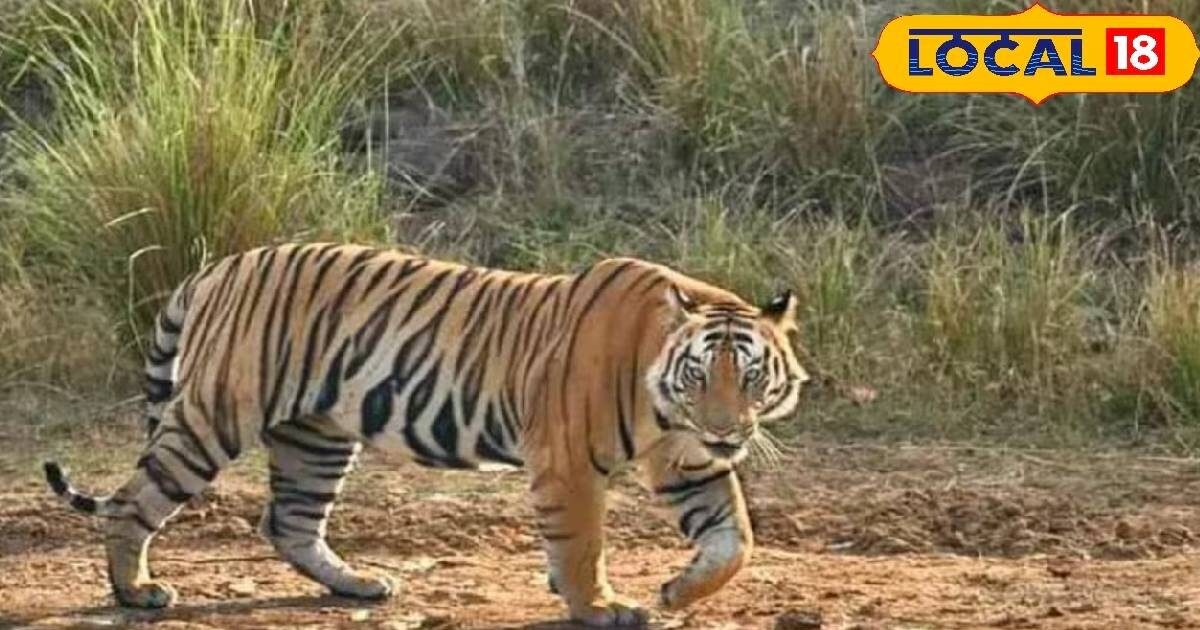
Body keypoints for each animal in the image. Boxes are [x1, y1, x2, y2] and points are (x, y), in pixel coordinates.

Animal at [43, 243, 810, 627]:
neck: (668, 405)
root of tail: (220, 265)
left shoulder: (688, 463)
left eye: (751, 377)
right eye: (699, 374)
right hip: (214, 415)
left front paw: (679, 593)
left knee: (291, 521)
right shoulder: (567, 459)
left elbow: (735, 539)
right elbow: (581, 543)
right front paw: (601, 607)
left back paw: (357, 585)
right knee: (135, 501)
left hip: (317, 434)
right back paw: (136, 593)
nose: (725, 430)